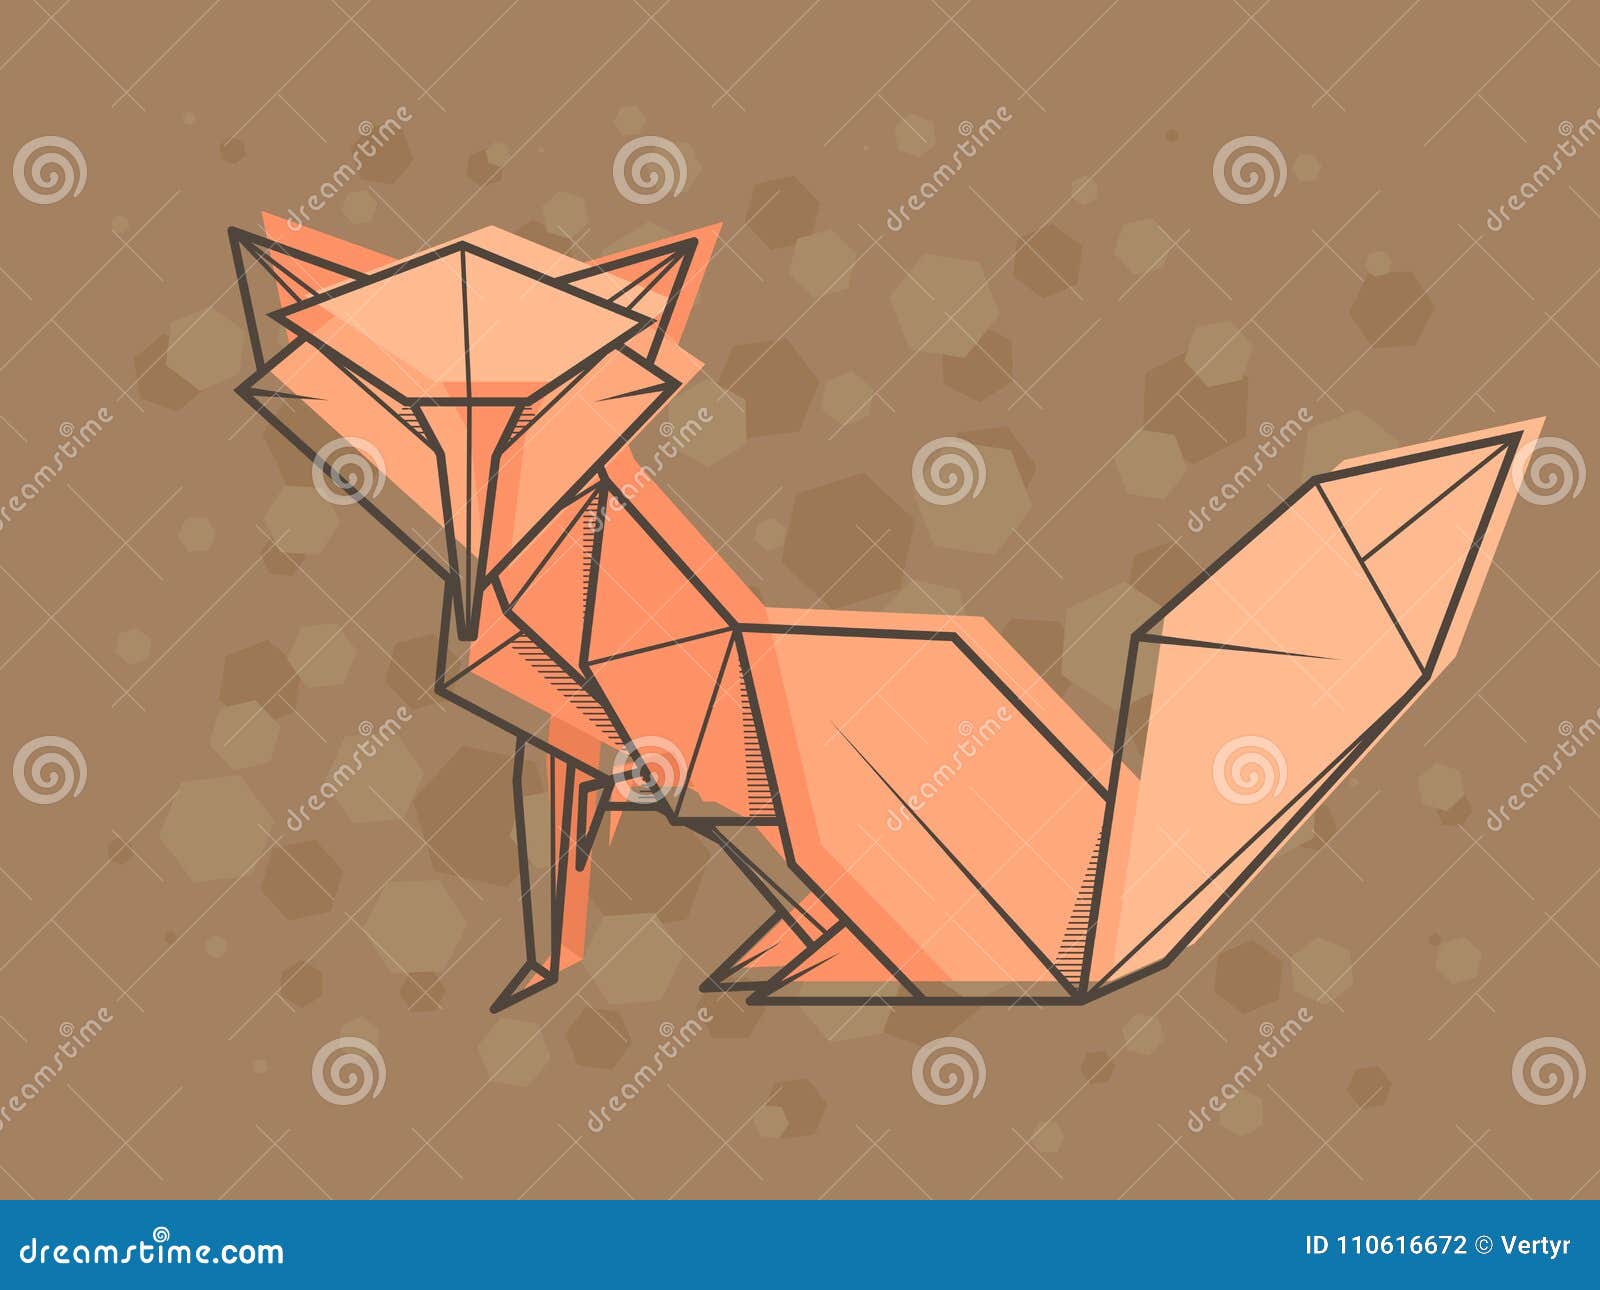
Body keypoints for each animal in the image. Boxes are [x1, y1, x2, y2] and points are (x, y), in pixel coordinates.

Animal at [229, 216, 1539, 1013]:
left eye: (549, 401)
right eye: (397, 402)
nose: (471, 490)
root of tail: (1085, 952)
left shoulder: (664, 749)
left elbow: (624, 861)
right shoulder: (564, 744)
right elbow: (560, 880)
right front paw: (544, 978)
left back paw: (808, 974)